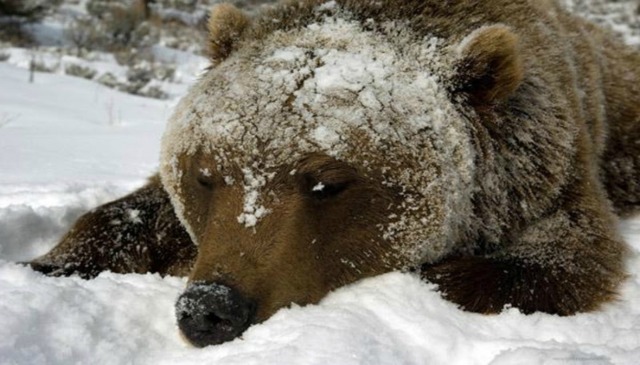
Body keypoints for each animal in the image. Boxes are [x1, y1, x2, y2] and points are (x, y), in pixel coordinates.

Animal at [28, 0, 640, 346]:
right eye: (207, 174)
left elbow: (559, 257)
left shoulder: (543, 166)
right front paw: (49, 263)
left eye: (326, 182)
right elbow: (131, 213)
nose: (210, 308)